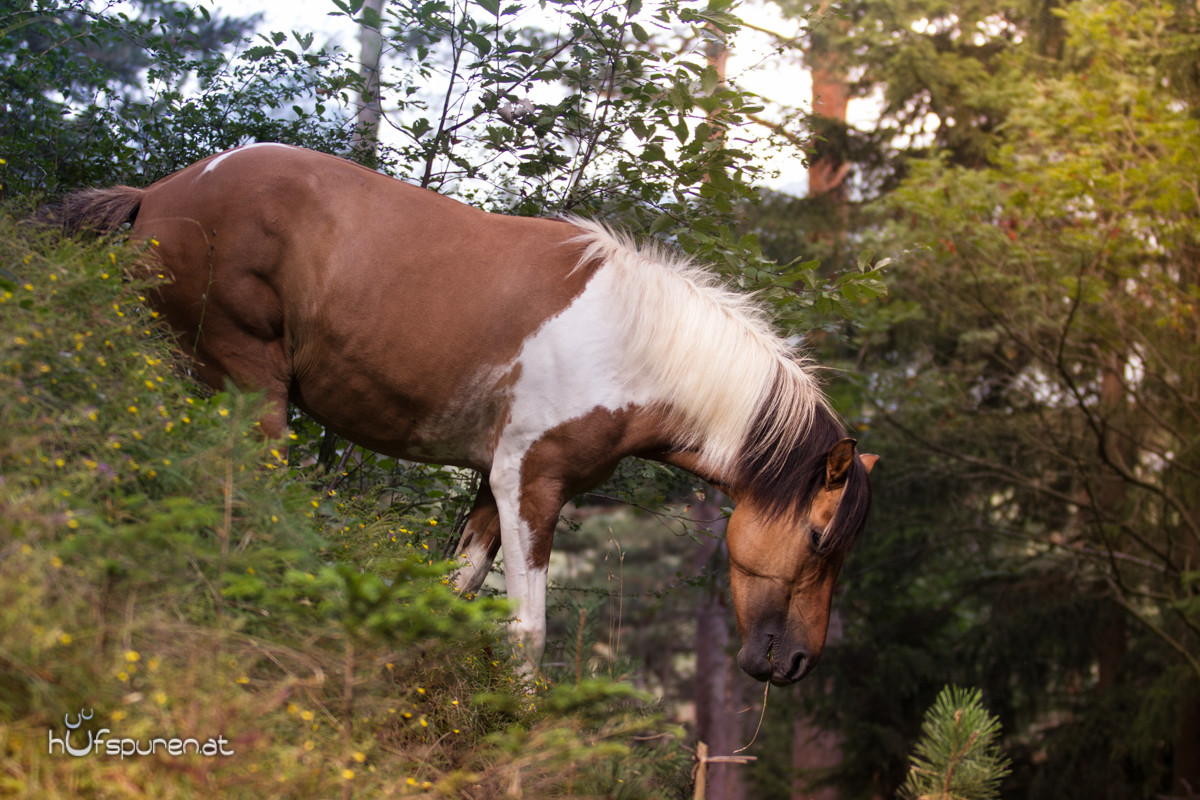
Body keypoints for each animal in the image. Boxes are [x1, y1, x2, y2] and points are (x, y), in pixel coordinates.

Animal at [58, 143, 877, 686]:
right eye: (817, 539)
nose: (795, 662)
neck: (632, 344)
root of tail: (159, 193)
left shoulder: (493, 483)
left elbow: (451, 596)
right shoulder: (532, 486)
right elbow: (526, 632)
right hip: (248, 387)